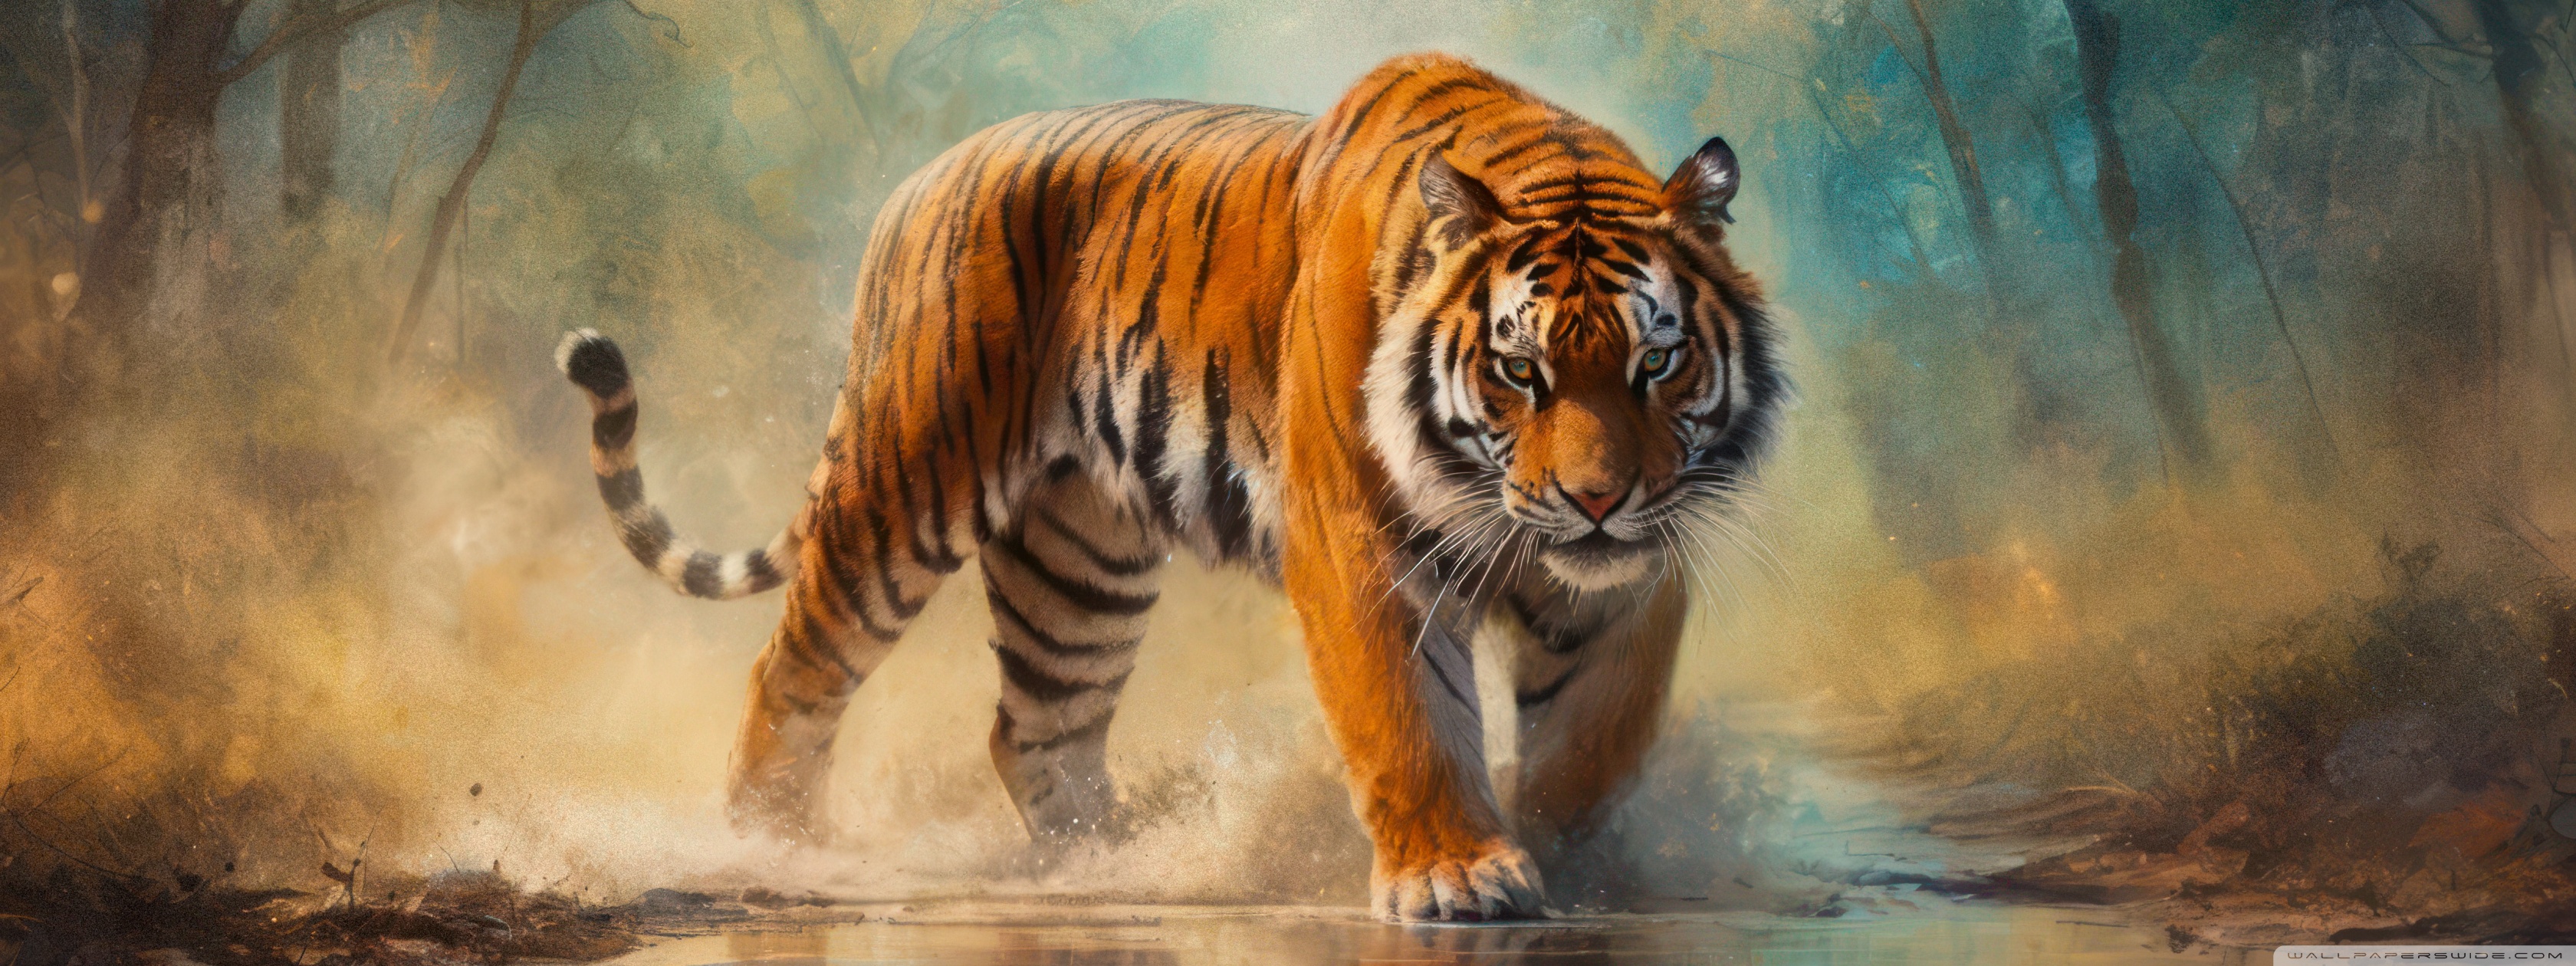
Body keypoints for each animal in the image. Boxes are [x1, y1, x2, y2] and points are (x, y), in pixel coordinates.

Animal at [554, 52, 1782, 922]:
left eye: (1657, 362)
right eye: (1521, 371)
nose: (1596, 502)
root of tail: (922, 180)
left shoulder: (1633, 578)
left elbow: (1595, 739)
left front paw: (1576, 866)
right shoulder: (1362, 549)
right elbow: (1411, 723)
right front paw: (1457, 876)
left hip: (1077, 561)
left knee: (1036, 730)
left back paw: (1118, 864)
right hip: (904, 488)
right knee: (792, 674)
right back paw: (772, 848)